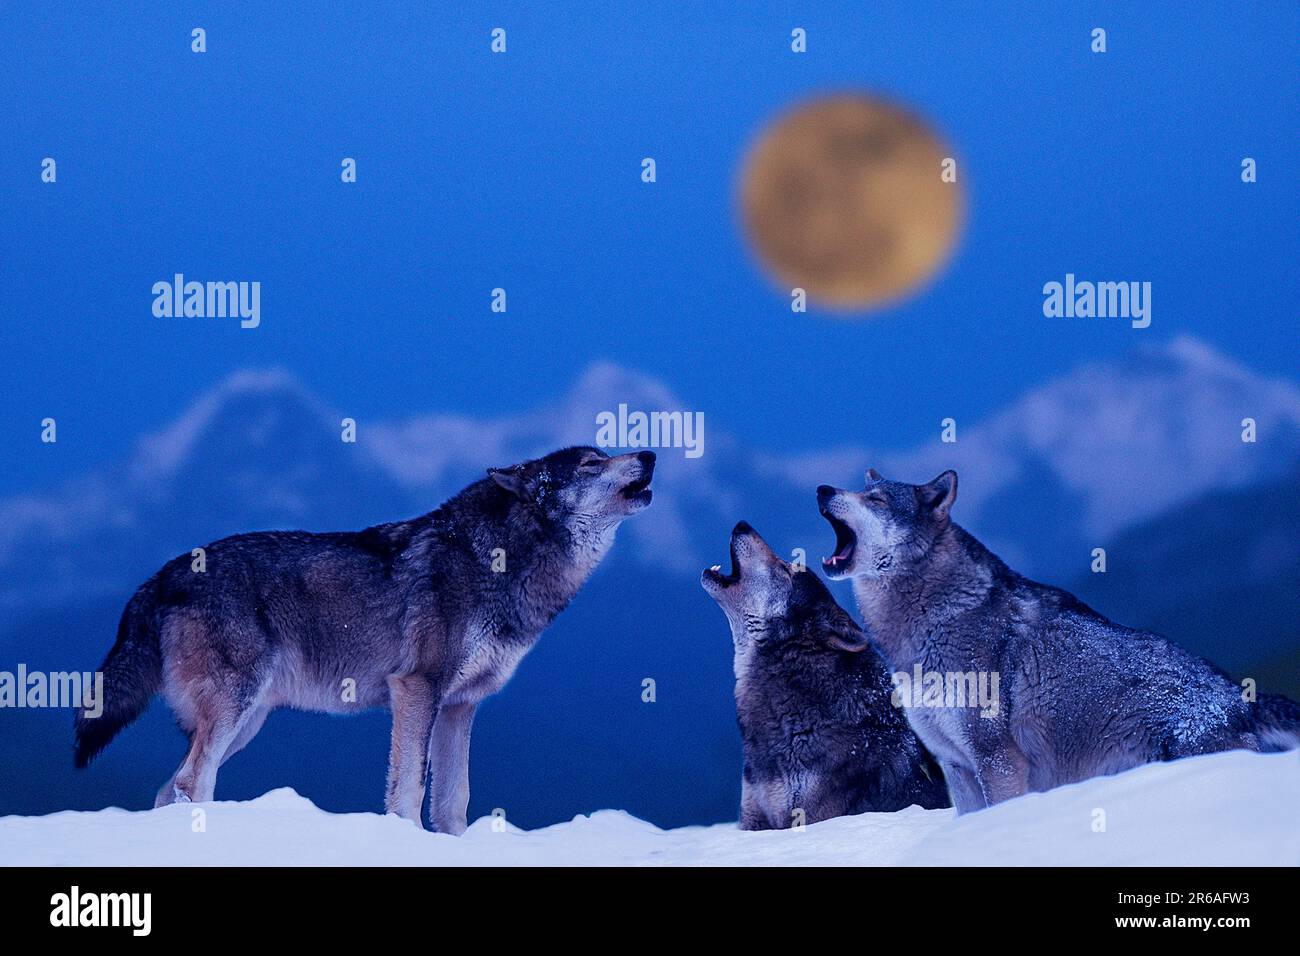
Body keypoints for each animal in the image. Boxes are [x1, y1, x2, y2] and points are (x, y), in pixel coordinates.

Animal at [74, 446, 655, 833]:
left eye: (605, 454)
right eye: (591, 462)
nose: (650, 452)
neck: (498, 558)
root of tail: (162, 573)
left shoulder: (459, 706)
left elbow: (454, 801)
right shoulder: (417, 689)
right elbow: (409, 788)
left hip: (248, 721)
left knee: (167, 788)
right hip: (234, 711)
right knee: (191, 782)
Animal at [817, 468, 1300, 813]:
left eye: (876, 500)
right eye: (863, 489)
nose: (822, 489)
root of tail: (1242, 699)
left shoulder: (997, 760)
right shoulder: (955, 767)